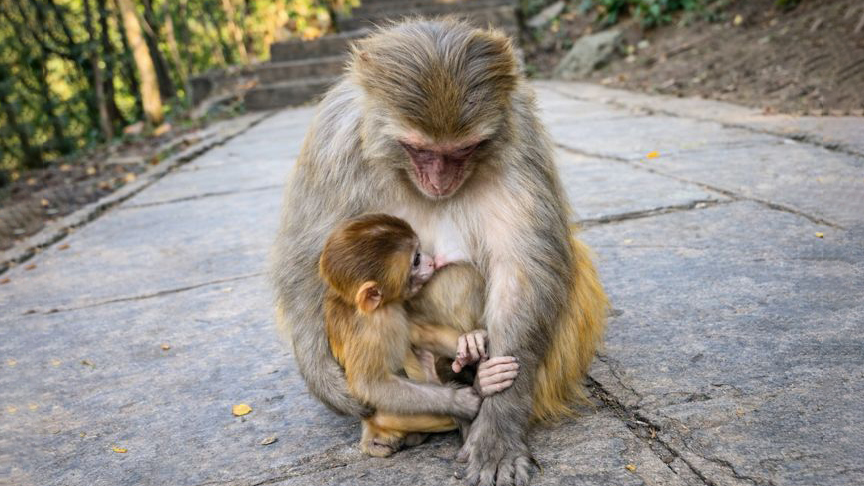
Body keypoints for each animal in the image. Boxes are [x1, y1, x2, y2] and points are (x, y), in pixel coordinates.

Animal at [318, 213, 521, 457]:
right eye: (416, 259)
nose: (432, 261)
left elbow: (419, 332)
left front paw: (470, 342)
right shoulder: (374, 326)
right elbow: (371, 385)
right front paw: (460, 400)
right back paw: (480, 385)